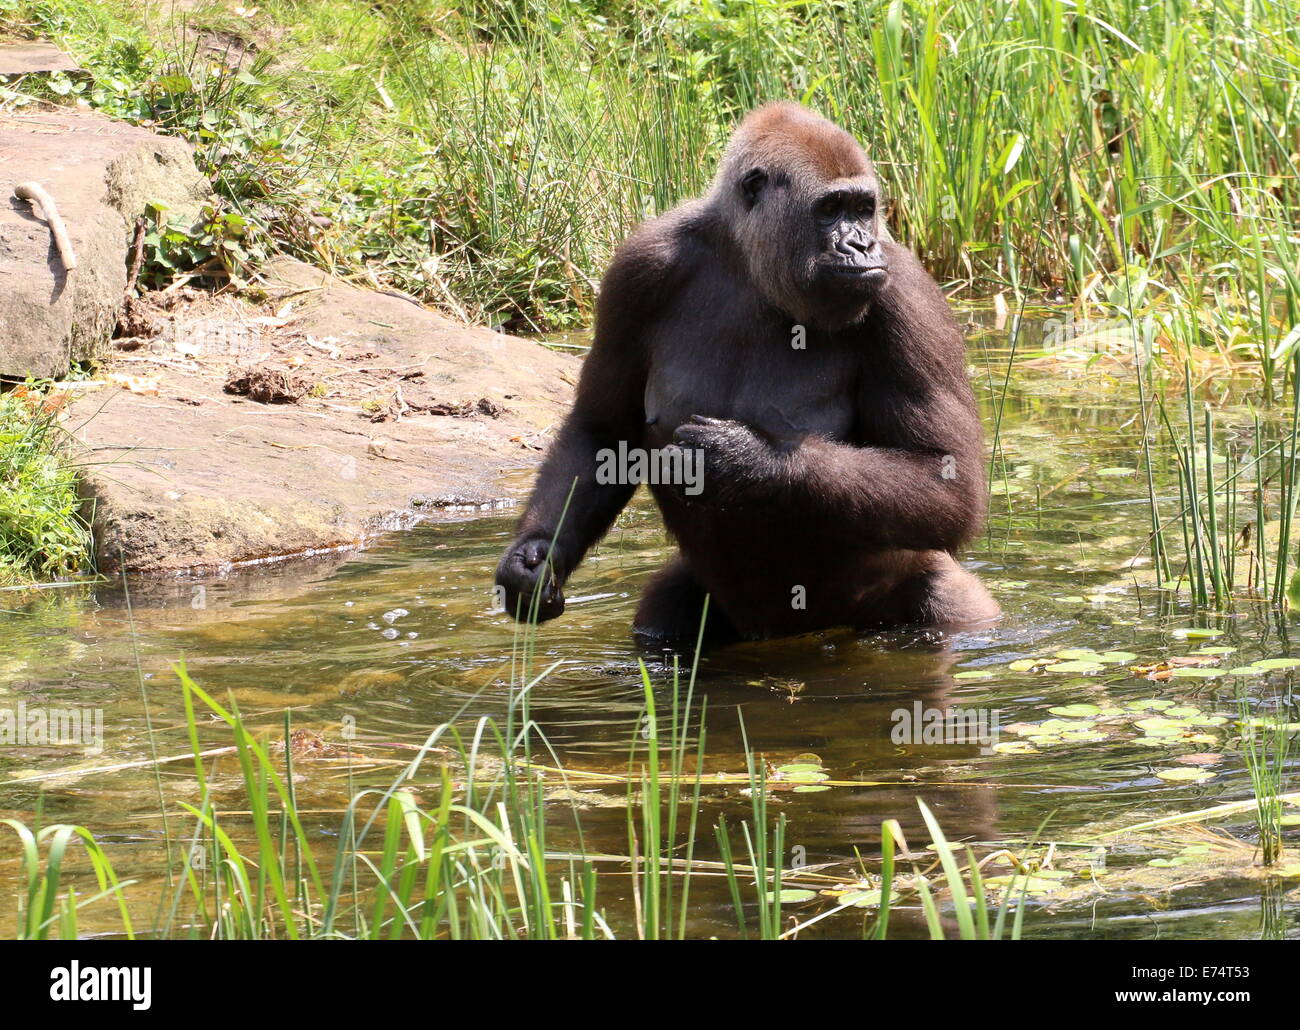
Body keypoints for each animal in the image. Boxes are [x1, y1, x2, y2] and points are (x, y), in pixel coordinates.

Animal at [495, 102, 999, 649]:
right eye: (831, 209)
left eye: (864, 208)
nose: (864, 246)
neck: (749, 263)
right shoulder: (638, 267)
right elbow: (603, 430)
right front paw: (536, 556)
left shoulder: (905, 292)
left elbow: (945, 477)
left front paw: (743, 461)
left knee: (944, 604)